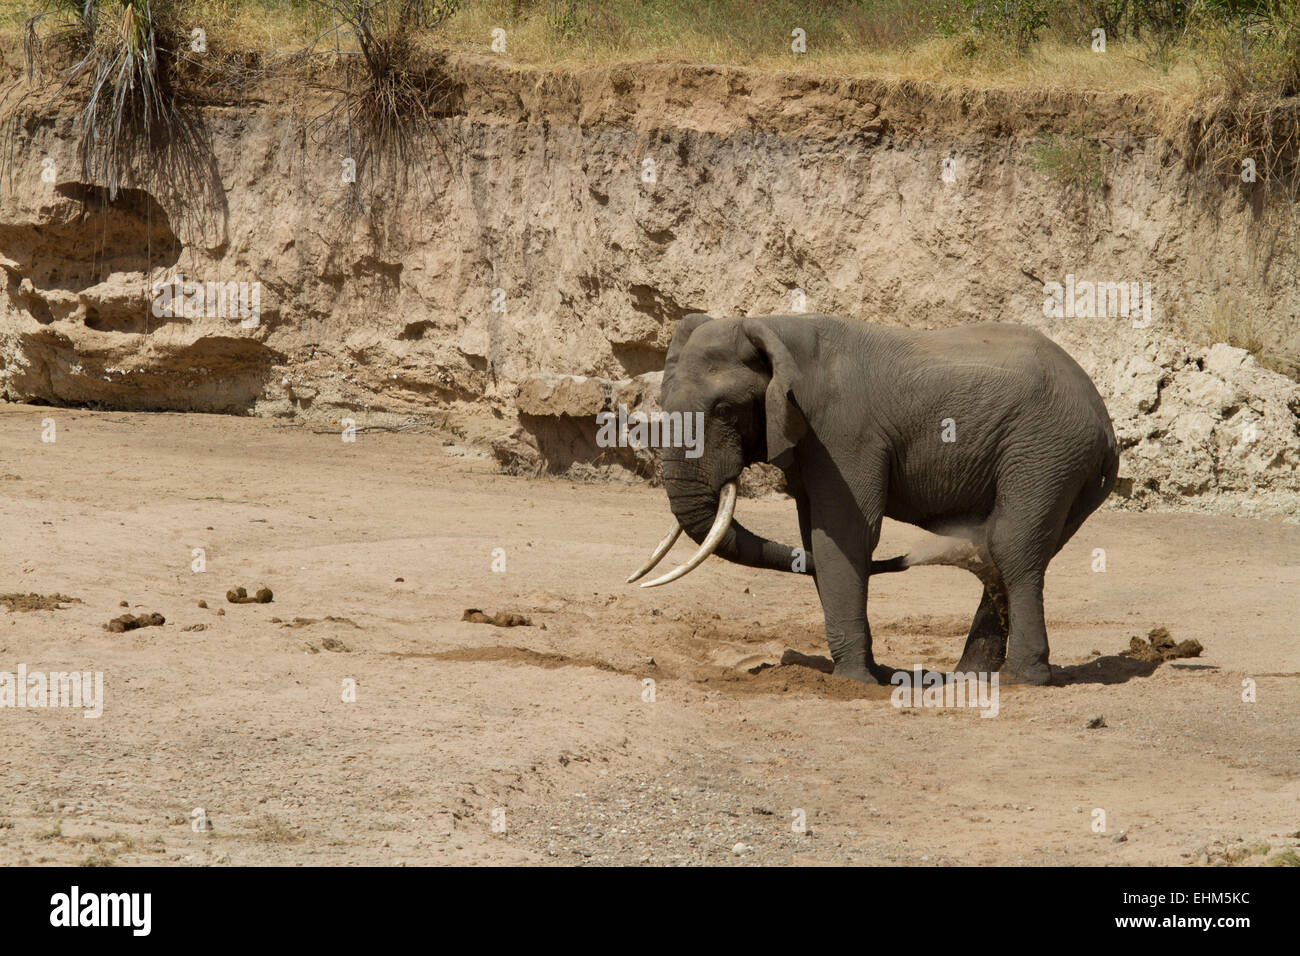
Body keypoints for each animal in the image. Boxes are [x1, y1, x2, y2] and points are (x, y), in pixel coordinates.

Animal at [627, 313, 1119, 686]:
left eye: (725, 410)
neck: (769, 327)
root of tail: (1104, 418)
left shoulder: (842, 433)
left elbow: (845, 537)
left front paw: (854, 682)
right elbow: (817, 539)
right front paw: (870, 674)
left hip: (1046, 452)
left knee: (1013, 546)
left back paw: (1020, 680)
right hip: (1065, 468)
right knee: (1010, 551)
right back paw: (970, 677)